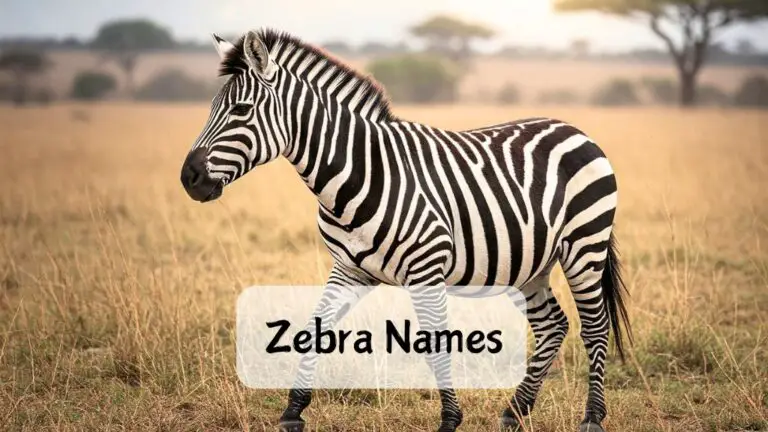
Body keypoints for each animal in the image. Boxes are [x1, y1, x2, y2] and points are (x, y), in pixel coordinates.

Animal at [180, 29, 632, 432]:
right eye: (210, 108)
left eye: (240, 111)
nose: (189, 179)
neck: (356, 175)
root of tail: (574, 129)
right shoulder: (348, 269)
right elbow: (314, 330)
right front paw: (293, 412)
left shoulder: (425, 268)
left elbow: (435, 341)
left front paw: (449, 420)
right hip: (529, 263)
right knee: (553, 326)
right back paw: (514, 413)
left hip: (584, 247)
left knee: (594, 328)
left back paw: (592, 418)